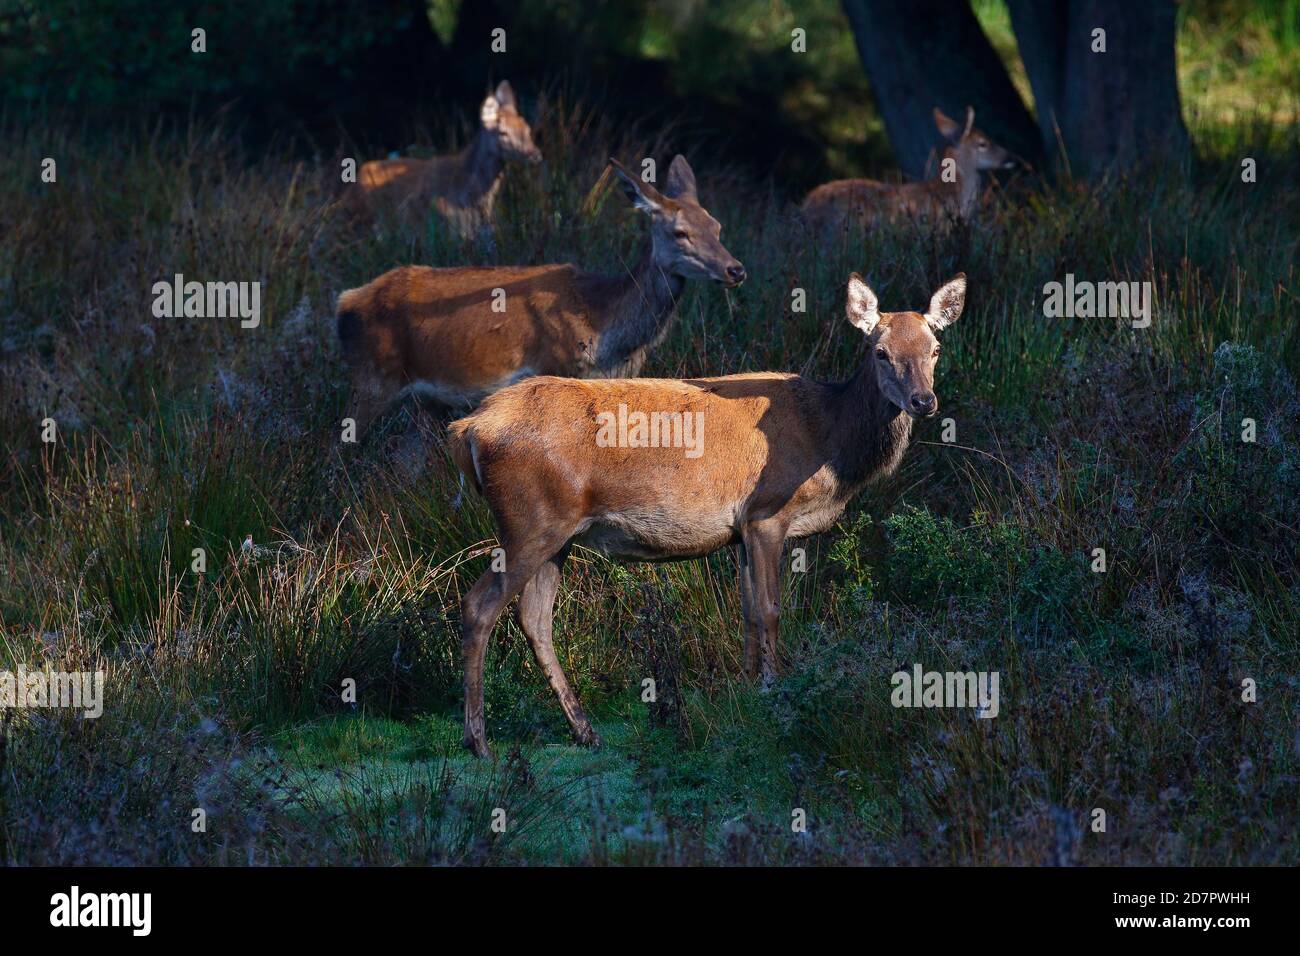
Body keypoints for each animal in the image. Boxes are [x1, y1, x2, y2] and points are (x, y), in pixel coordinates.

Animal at [335, 154, 745, 436]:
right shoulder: (555, 364)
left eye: (717, 226)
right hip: (372, 378)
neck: (607, 328)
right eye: (680, 232)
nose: (735, 269)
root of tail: (345, 302)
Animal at [447, 271, 968, 757]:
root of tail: (469, 427)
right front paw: (775, 692)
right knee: (479, 607)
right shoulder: (766, 513)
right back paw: (479, 741)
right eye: (880, 352)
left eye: (936, 348)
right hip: (530, 521)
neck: (829, 442)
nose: (924, 401)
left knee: (534, 619)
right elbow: (770, 609)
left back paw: (585, 731)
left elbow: (748, 612)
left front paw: (748, 688)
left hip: (559, 534)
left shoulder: (740, 531)